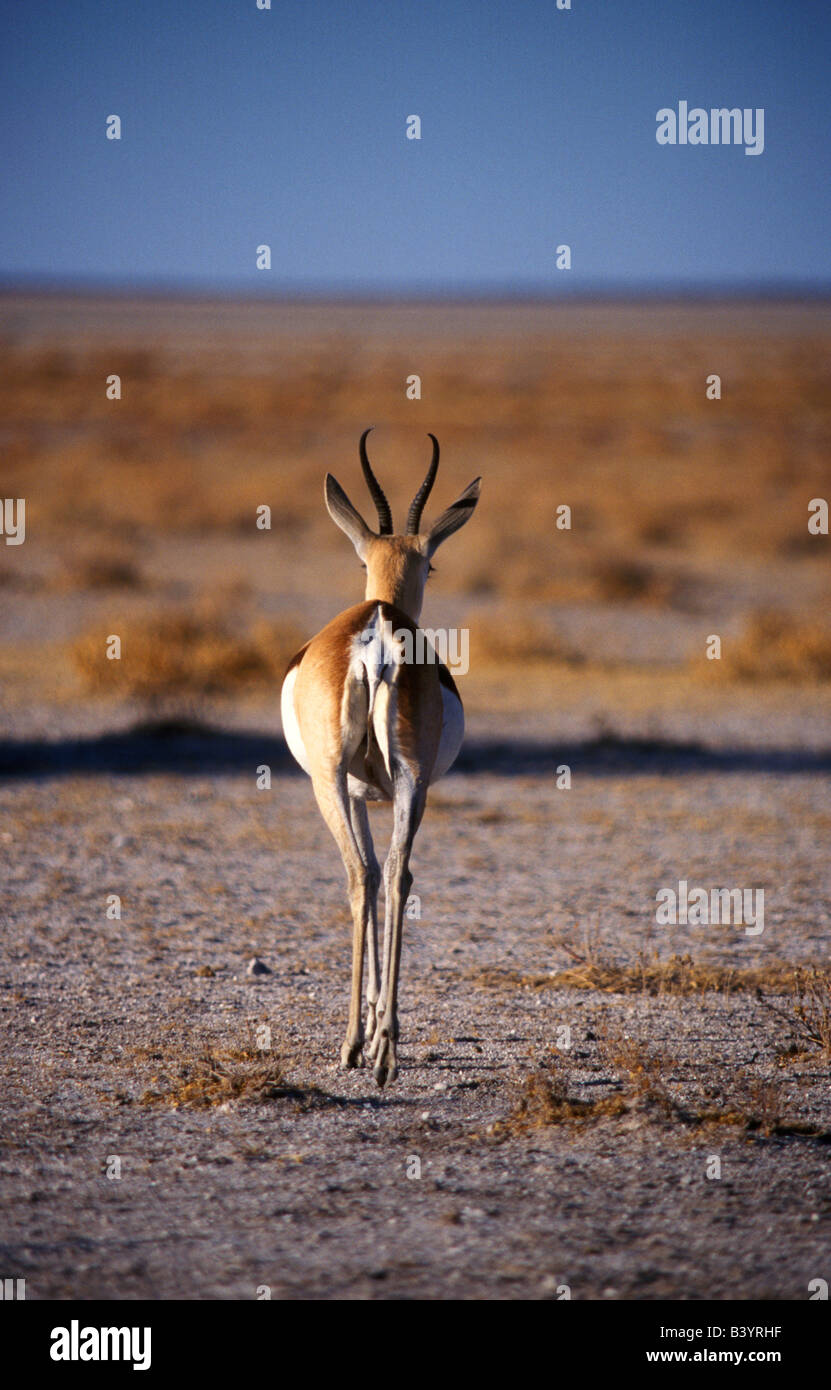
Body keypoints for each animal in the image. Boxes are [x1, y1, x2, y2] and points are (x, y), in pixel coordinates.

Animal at [281, 430, 480, 1086]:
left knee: (362, 875)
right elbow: (386, 870)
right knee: (392, 874)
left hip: (330, 783)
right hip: (410, 784)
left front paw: (366, 1033)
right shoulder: (378, 794)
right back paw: (383, 1049)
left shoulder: (355, 791)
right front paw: (377, 1030)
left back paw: (356, 1046)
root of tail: (376, 637)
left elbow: (364, 873)